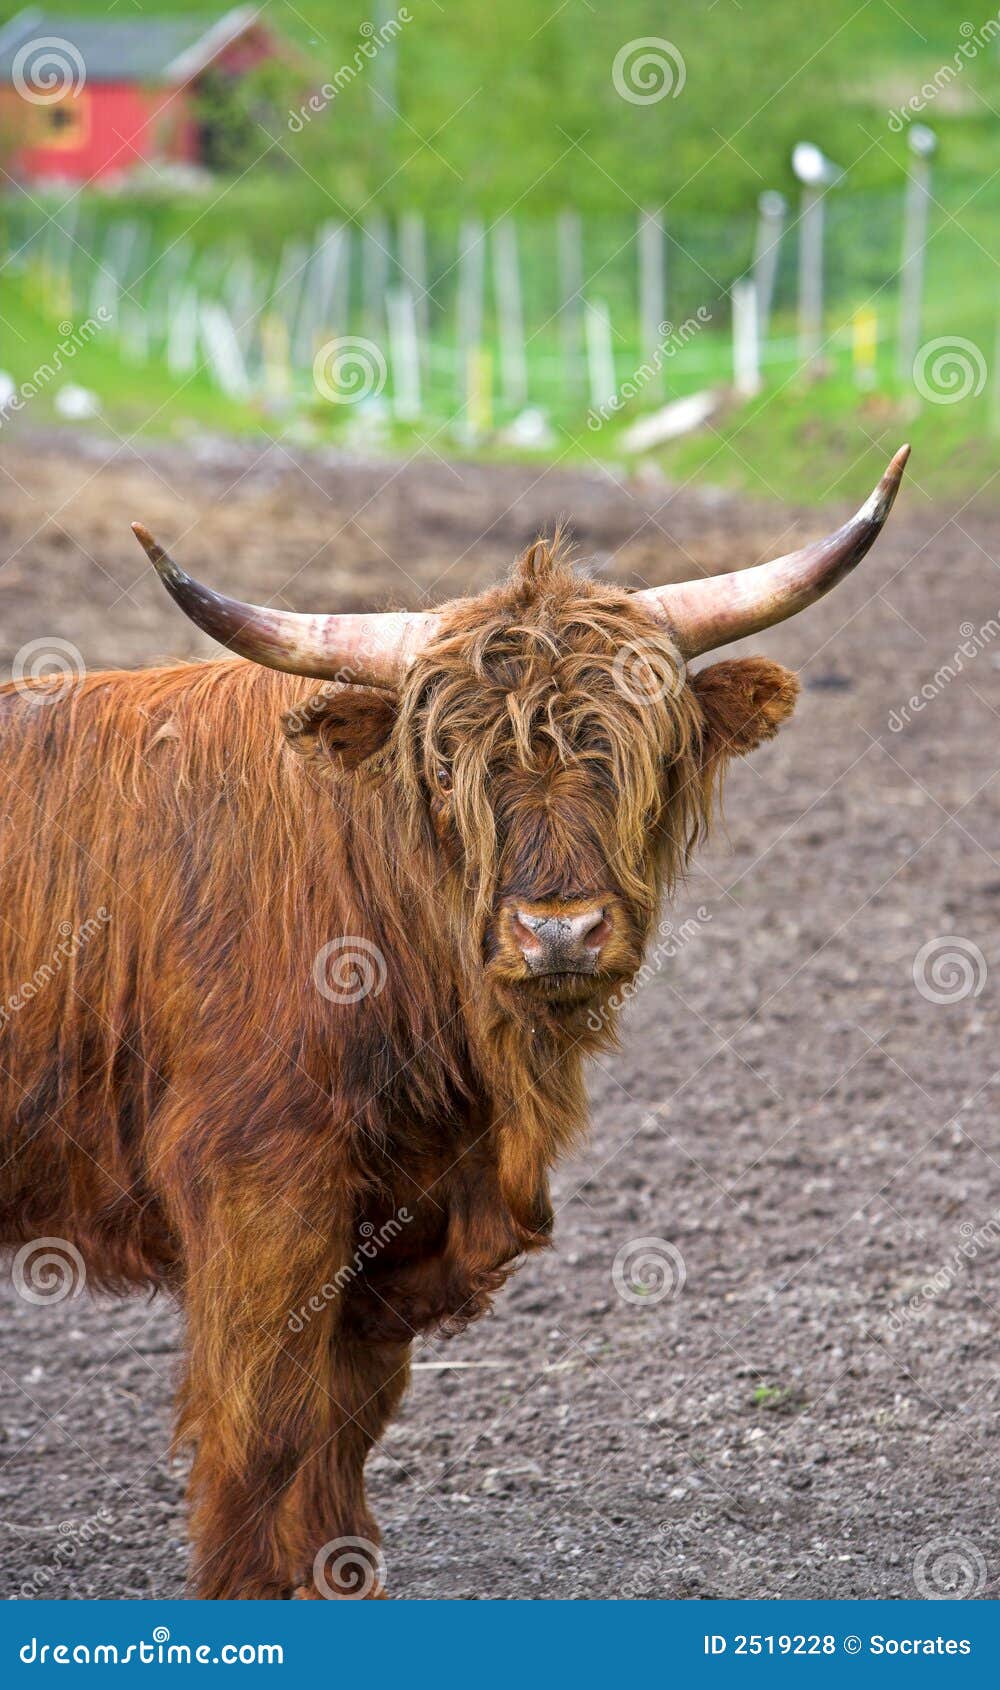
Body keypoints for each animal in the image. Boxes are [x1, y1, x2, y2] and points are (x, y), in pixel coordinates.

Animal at [0, 447, 909, 1598]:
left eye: (645, 757)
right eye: (446, 770)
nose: (558, 930)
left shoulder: (393, 1213)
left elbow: (343, 1431)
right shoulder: (259, 1186)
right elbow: (263, 1434)